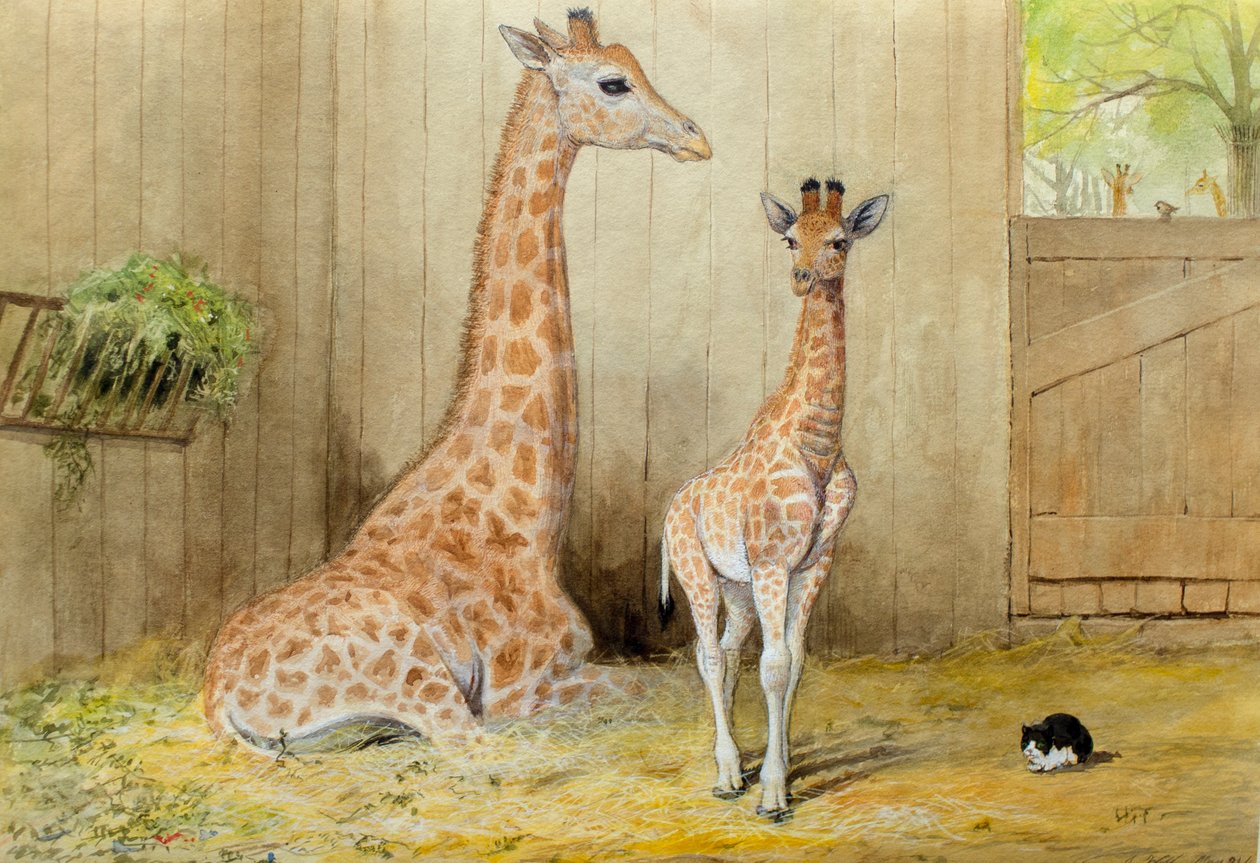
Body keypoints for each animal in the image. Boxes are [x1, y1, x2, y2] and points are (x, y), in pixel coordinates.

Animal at [202, 8, 710, 754]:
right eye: (613, 82)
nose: (696, 138)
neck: (534, 522)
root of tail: (218, 700)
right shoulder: (521, 685)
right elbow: (663, 685)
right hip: (421, 677)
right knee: (469, 744)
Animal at [659, 178, 887, 817]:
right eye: (789, 239)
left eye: (839, 240)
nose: (802, 278)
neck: (818, 444)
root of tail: (669, 510)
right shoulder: (771, 563)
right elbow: (776, 664)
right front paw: (774, 794)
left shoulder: (811, 565)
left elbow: (792, 662)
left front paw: (774, 776)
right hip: (697, 574)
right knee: (708, 654)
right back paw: (726, 774)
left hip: (734, 588)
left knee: (729, 653)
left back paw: (738, 766)